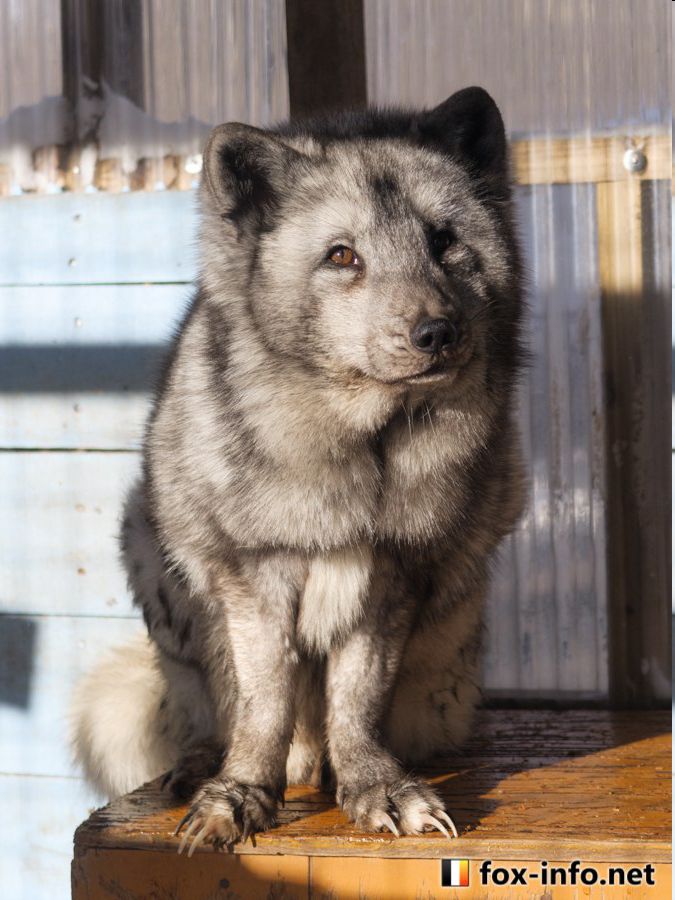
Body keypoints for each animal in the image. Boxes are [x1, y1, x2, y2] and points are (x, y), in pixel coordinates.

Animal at [71, 86, 526, 852]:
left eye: (444, 242)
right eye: (342, 256)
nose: (437, 333)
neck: (362, 453)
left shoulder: (390, 571)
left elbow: (356, 698)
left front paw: (373, 786)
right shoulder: (256, 569)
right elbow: (263, 701)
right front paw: (240, 795)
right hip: (151, 543)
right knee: (214, 706)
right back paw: (203, 763)